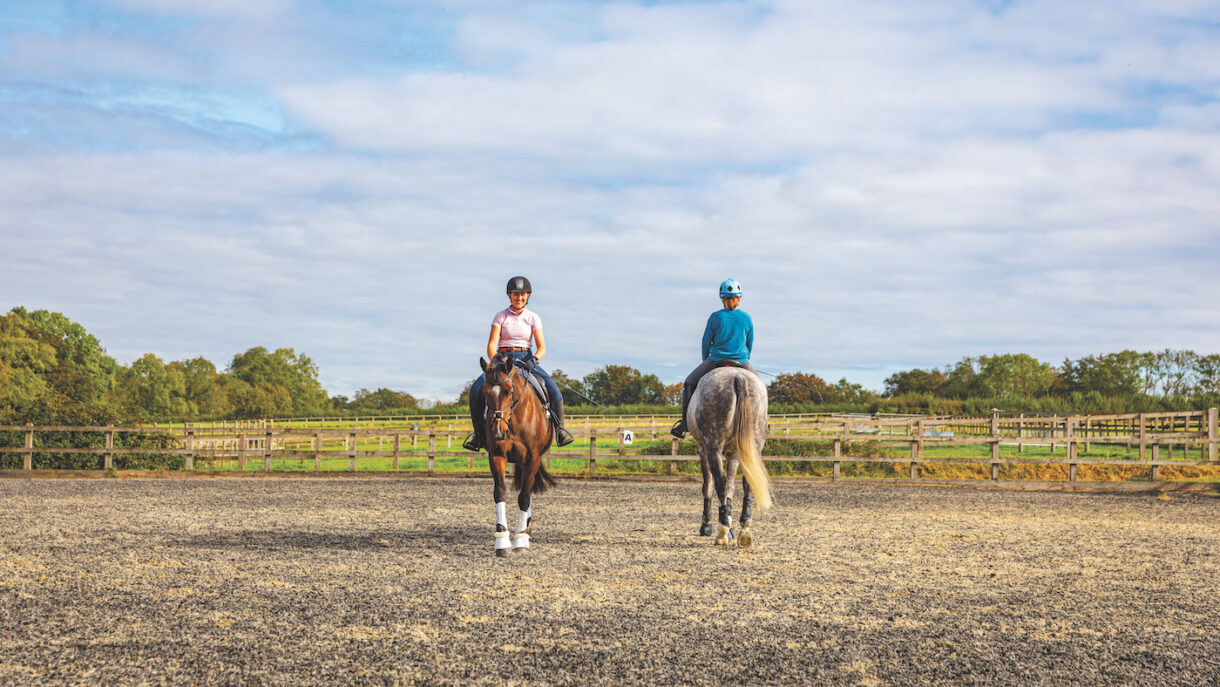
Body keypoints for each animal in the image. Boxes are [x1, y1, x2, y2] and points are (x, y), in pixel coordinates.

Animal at [478, 352, 557, 557]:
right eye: (485, 393)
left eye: (508, 390)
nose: (498, 431)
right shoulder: (497, 456)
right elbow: (500, 492)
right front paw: (502, 542)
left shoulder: (532, 459)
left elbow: (524, 497)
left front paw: (521, 541)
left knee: (526, 491)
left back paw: (525, 530)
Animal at [688, 365, 773, 548]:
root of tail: (737, 376)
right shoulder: (734, 453)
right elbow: (731, 487)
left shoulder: (703, 449)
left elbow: (709, 486)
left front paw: (707, 525)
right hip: (752, 446)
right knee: (747, 482)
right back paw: (744, 530)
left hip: (713, 446)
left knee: (719, 483)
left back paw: (722, 532)